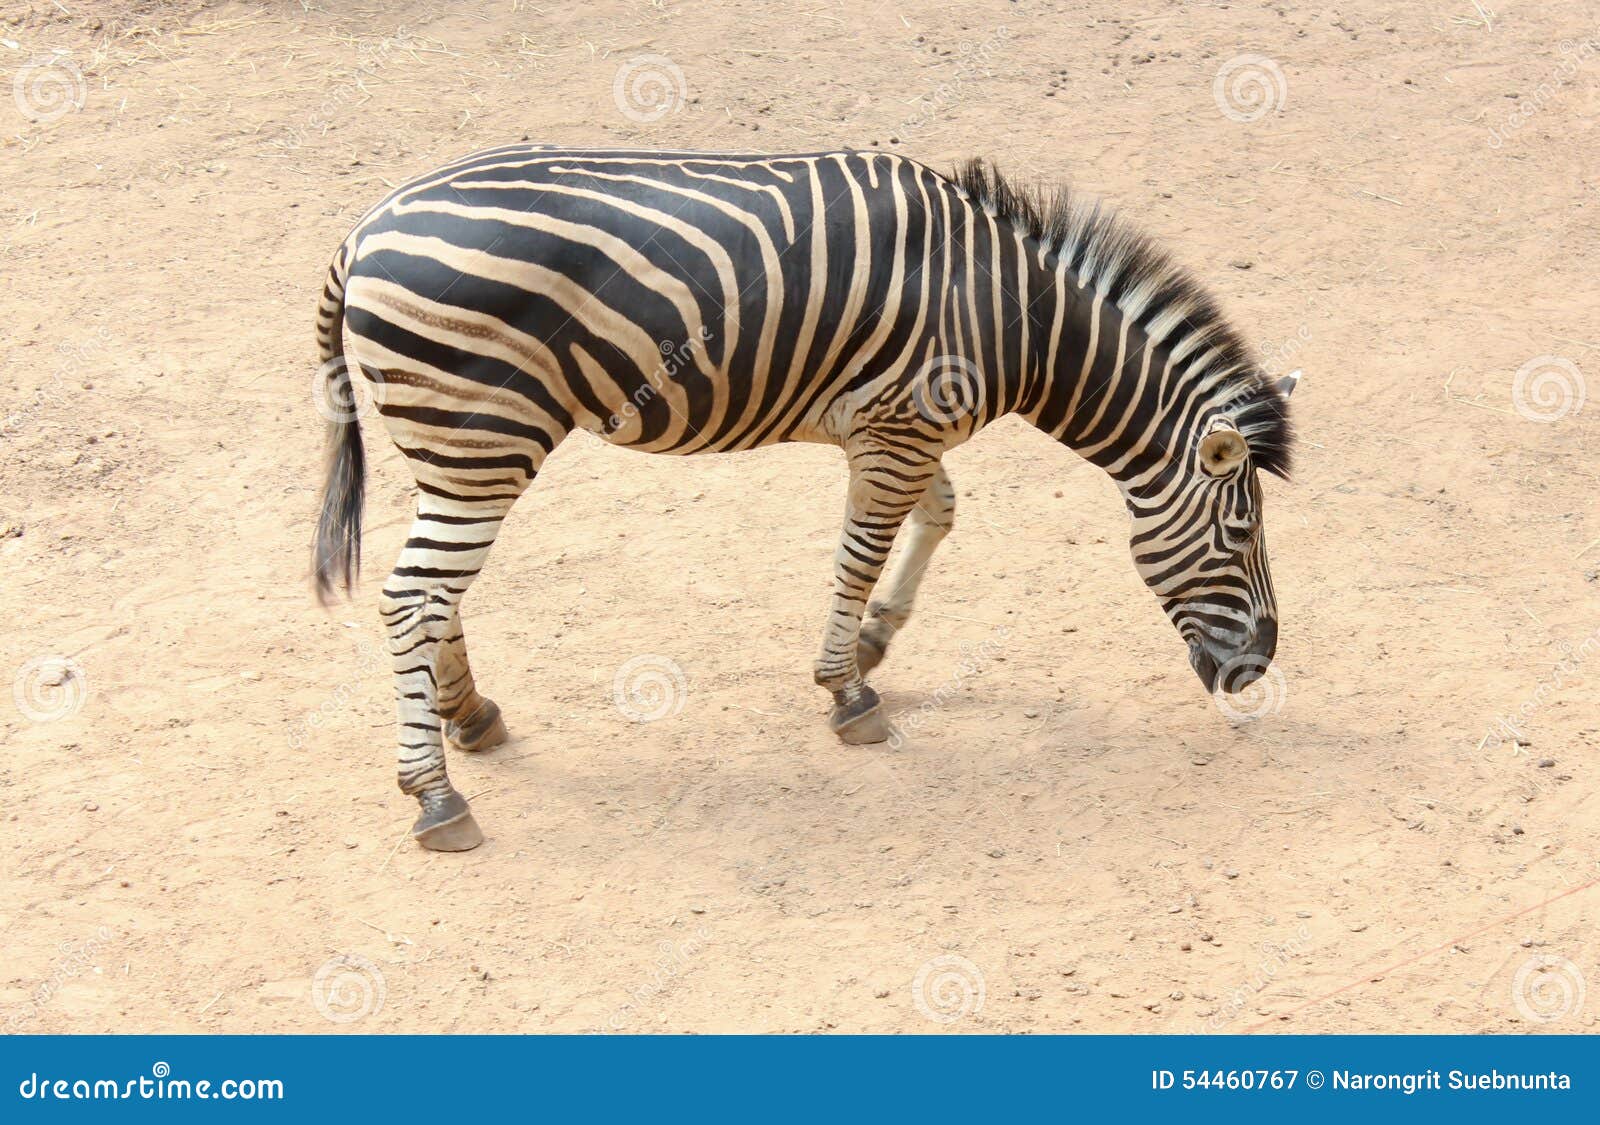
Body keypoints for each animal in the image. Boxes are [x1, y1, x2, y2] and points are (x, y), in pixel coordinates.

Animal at [311, 147, 1296, 852]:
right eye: (1242, 529)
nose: (1257, 670)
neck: (1015, 316)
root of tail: (362, 233)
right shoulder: (901, 429)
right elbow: (860, 553)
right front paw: (846, 689)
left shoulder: (896, 428)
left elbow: (938, 515)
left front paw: (872, 641)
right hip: (483, 438)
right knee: (411, 596)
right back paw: (435, 795)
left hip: (455, 452)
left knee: (436, 590)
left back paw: (468, 715)